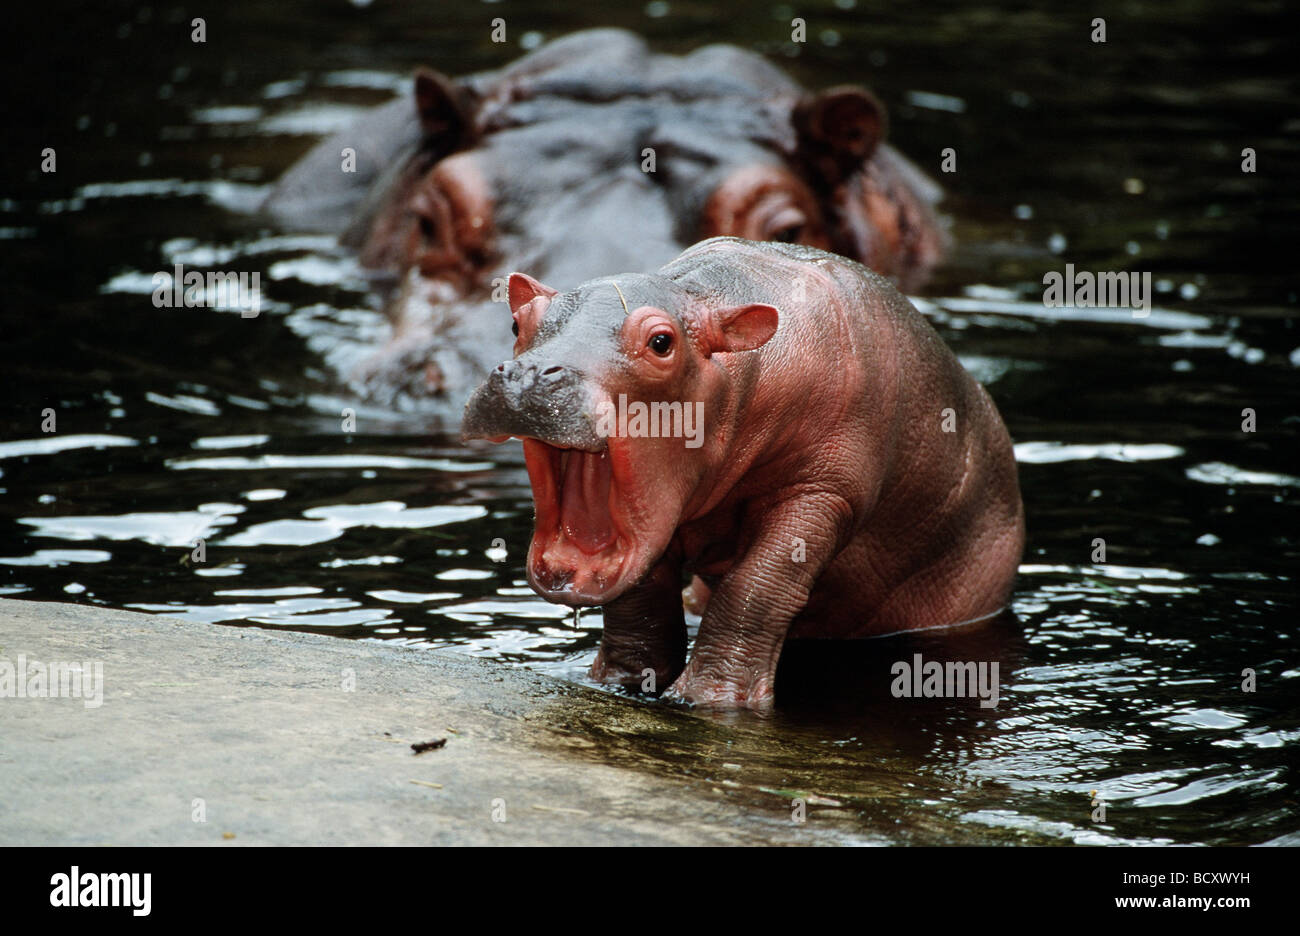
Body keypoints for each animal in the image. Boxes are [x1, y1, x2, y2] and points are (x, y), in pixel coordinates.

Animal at [461, 237, 1025, 709]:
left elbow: (758, 587)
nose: (530, 373)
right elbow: (640, 601)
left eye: (661, 342)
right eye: (518, 324)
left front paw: (712, 701)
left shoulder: (825, 491)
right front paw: (619, 683)